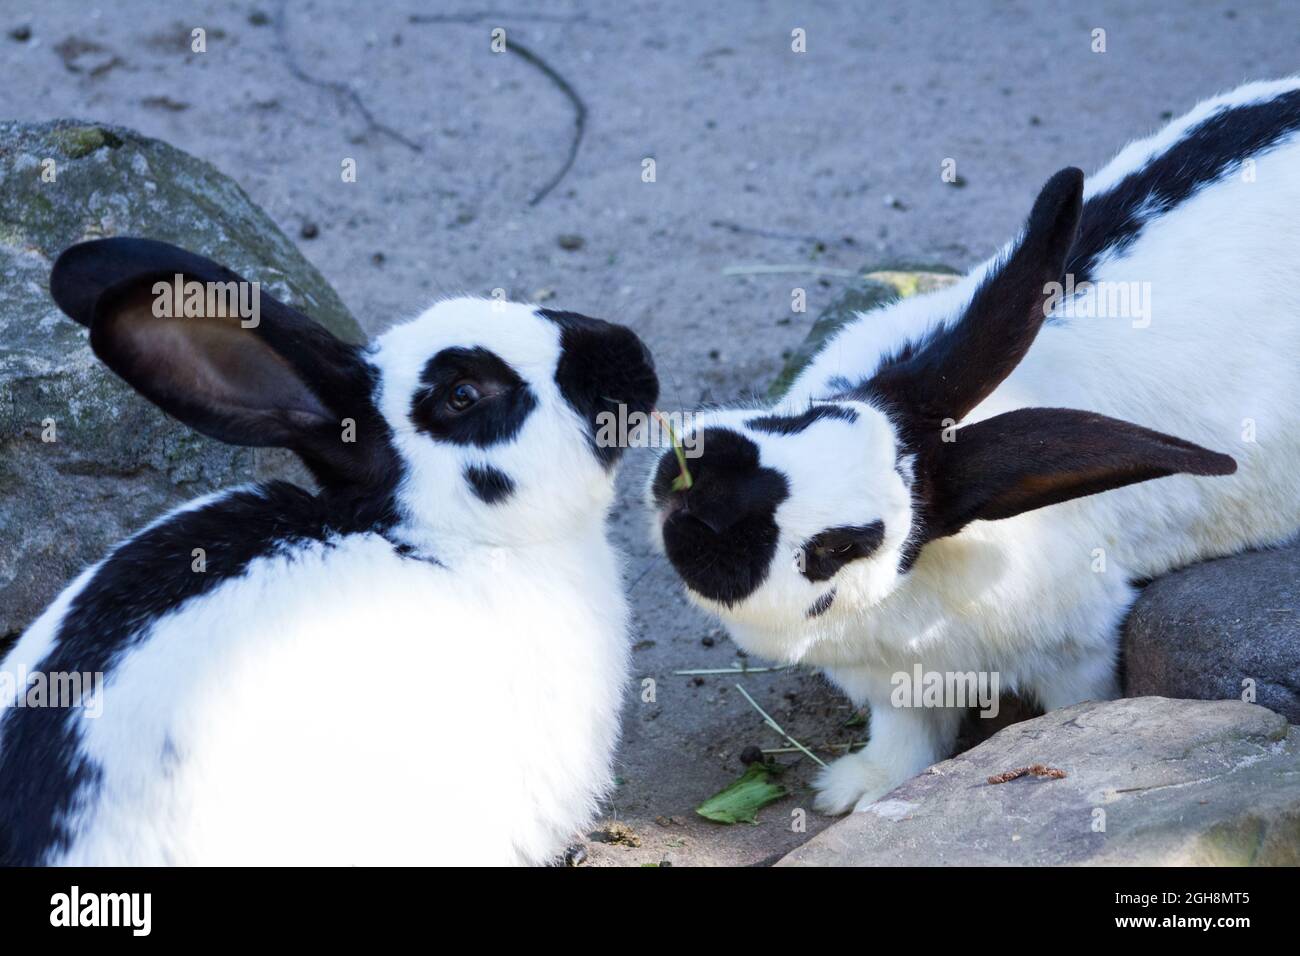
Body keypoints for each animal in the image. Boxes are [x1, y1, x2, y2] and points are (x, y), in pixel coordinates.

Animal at [648, 77, 1300, 815]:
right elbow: (906, 737)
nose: (699, 488)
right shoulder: (899, 686)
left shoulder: (1077, 649)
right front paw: (860, 791)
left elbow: (1073, 709)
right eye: (806, 419)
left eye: (841, 547)